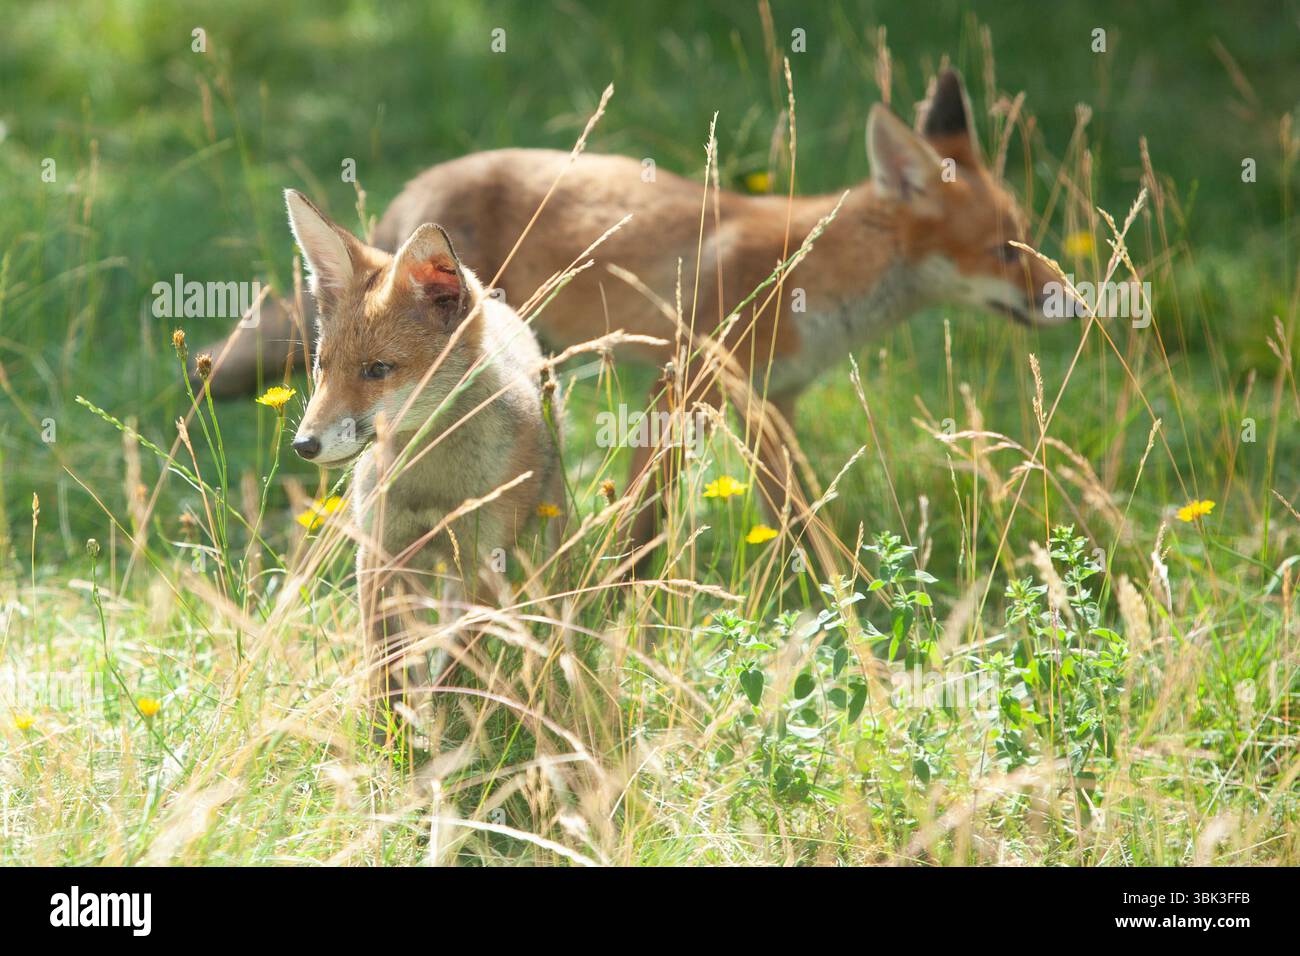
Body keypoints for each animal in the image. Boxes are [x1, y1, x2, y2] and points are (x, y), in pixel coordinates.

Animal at [199, 70, 1064, 551]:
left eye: (1021, 236)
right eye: (1005, 251)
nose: (1073, 297)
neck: (816, 274)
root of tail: (420, 185)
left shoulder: (773, 401)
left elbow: (794, 512)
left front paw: (827, 591)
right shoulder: (682, 379)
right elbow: (649, 517)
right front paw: (623, 595)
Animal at [282, 188, 562, 721]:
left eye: (376, 369)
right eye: (322, 366)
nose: (304, 446)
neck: (433, 485)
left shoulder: (481, 560)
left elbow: (454, 666)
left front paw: (444, 726)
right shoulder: (380, 555)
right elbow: (386, 669)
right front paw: (390, 732)